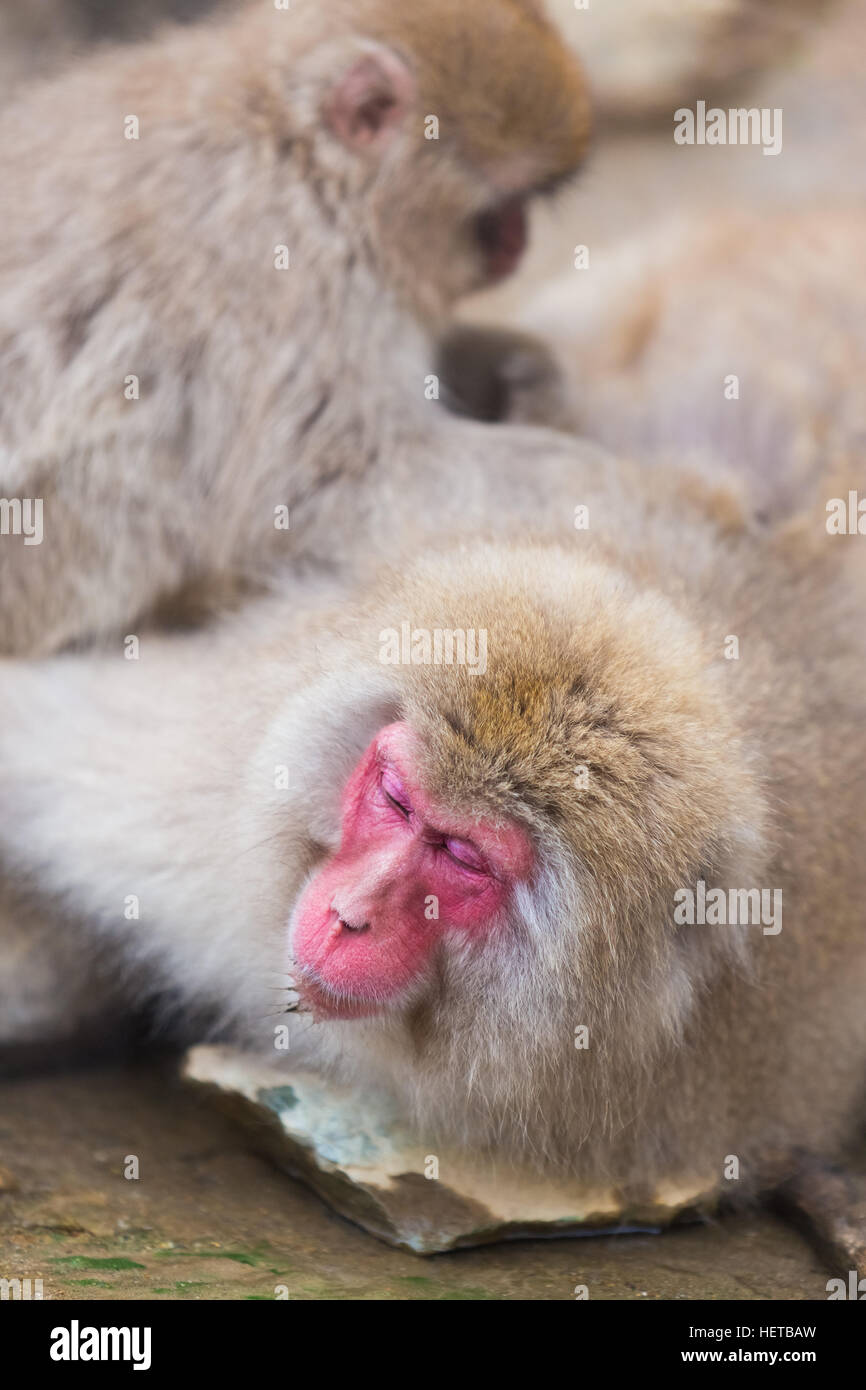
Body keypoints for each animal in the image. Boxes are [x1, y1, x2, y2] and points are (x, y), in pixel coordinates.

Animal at [0, 0, 591, 655]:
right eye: (499, 212)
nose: (520, 244)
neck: (300, 150)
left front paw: (526, 374)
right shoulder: (284, 264)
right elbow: (327, 484)